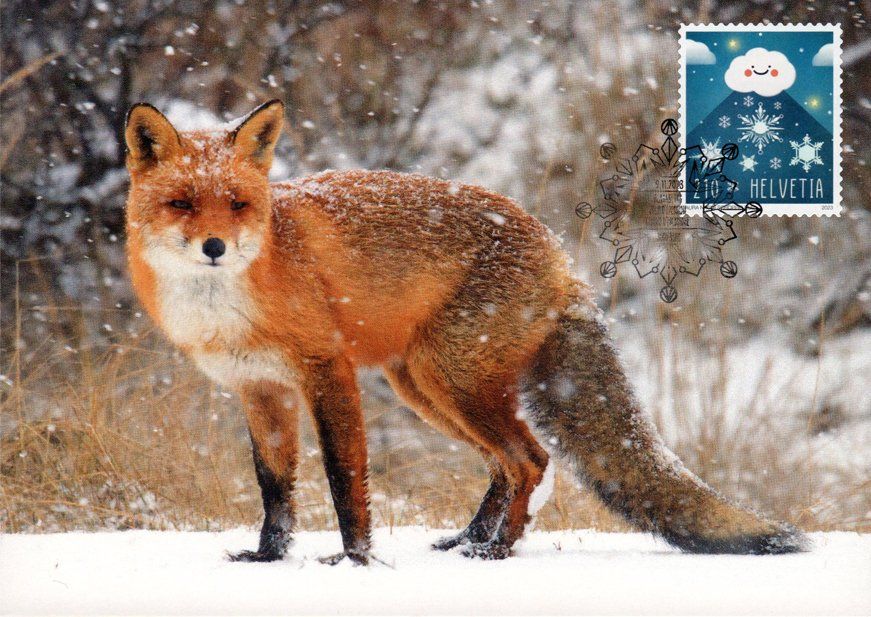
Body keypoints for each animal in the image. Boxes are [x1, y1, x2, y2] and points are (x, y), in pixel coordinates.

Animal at [123, 99, 807, 564]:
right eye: (182, 203)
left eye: (238, 204)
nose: (215, 247)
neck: (230, 307)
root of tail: (557, 251)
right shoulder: (259, 390)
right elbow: (274, 488)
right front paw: (269, 559)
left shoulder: (327, 372)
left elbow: (345, 478)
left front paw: (354, 561)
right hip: (423, 388)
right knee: (503, 466)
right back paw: (468, 541)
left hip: (450, 380)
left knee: (531, 460)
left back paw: (495, 552)